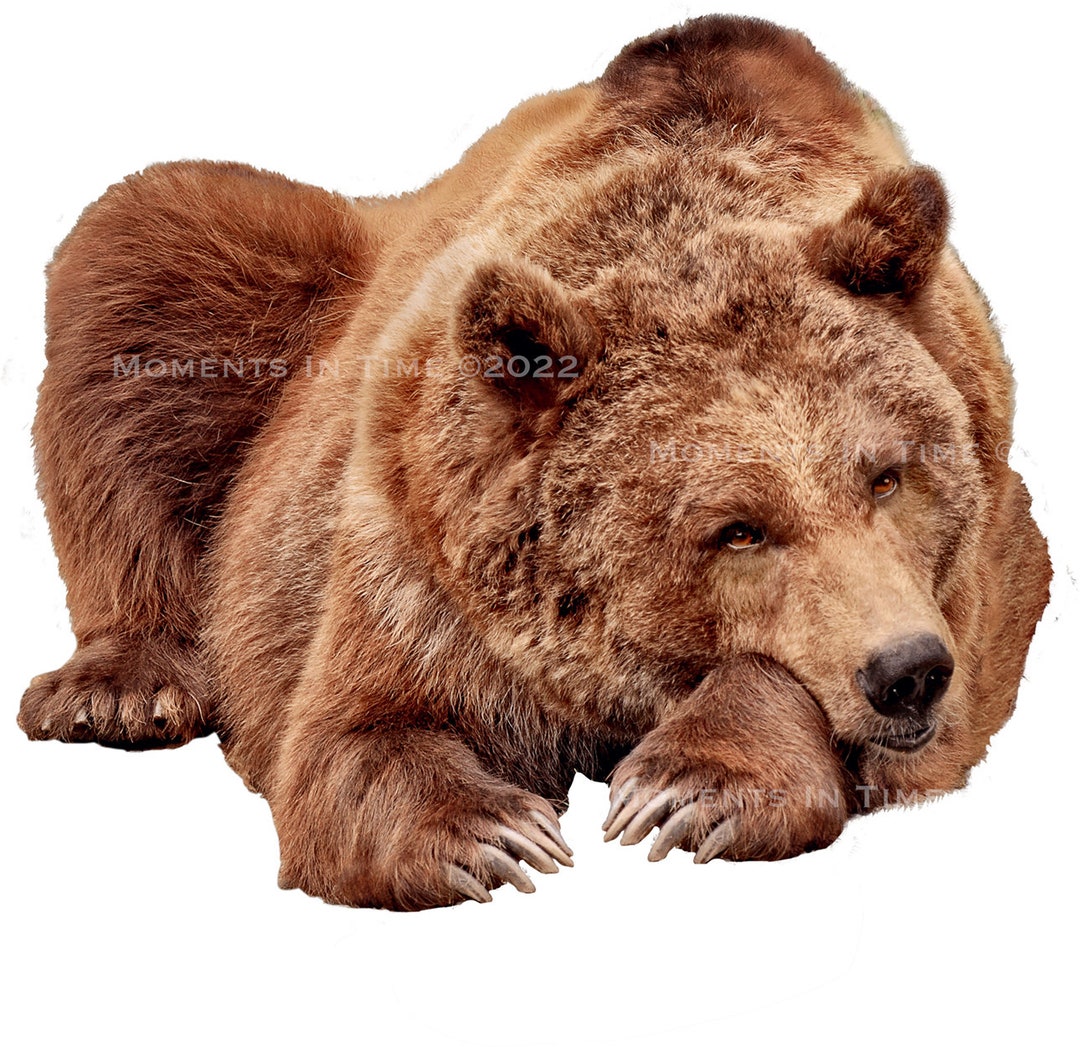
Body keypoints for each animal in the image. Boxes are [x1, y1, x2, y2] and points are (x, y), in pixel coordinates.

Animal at [18, 15, 1050, 909]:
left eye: (887, 476)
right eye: (737, 530)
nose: (906, 670)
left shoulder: (982, 577)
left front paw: (687, 787)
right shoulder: (419, 549)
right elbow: (351, 732)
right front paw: (488, 832)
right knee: (143, 249)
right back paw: (121, 689)